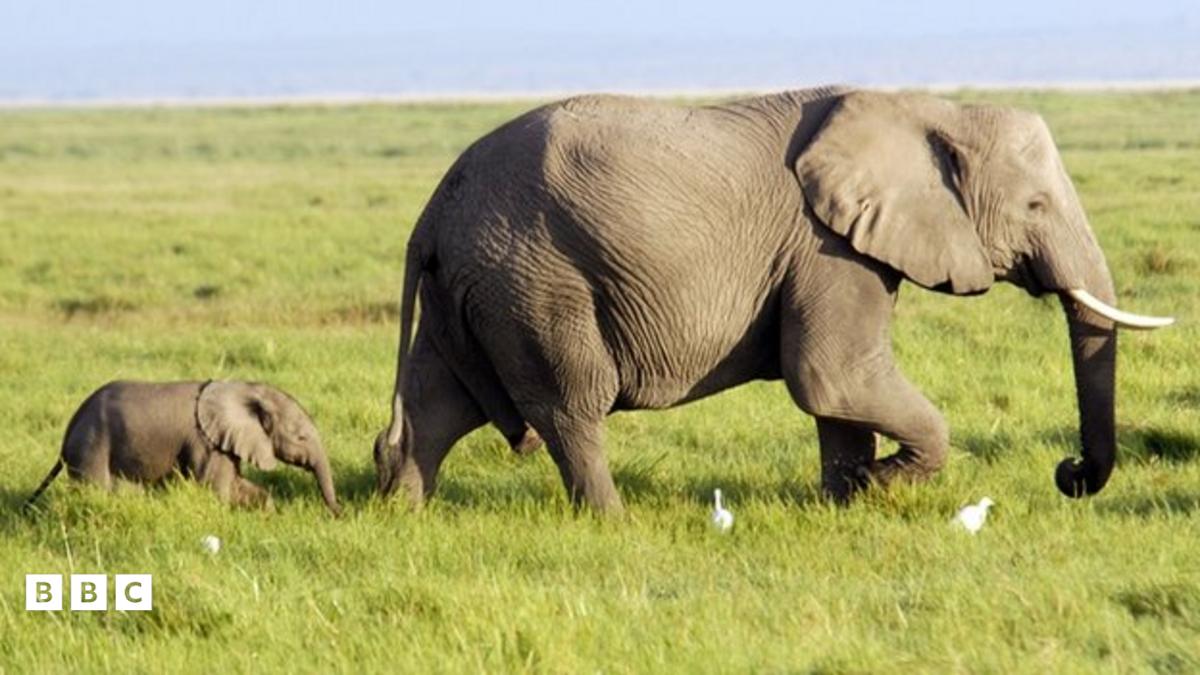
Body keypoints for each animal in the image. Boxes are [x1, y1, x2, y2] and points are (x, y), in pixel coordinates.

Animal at [27, 380, 341, 515]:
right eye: (301, 437)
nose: (338, 515)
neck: (248, 388)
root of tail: (70, 427)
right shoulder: (206, 442)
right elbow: (219, 491)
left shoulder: (222, 441)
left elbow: (238, 487)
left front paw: (268, 516)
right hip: (91, 447)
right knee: (95, 491)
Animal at [372, 87, 1173, 513]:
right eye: (1036, 205)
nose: (1069, 473)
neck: (925, 105)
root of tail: (432, 210)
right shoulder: (827, 248)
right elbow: (831, 375)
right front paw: (879, 484)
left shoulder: (843, 246)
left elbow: (839, 393)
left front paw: (846, 502)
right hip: (536, 280)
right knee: (571, 405)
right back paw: (614, 520)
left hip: (476, 283)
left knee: (439, 401)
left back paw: (401, 511)